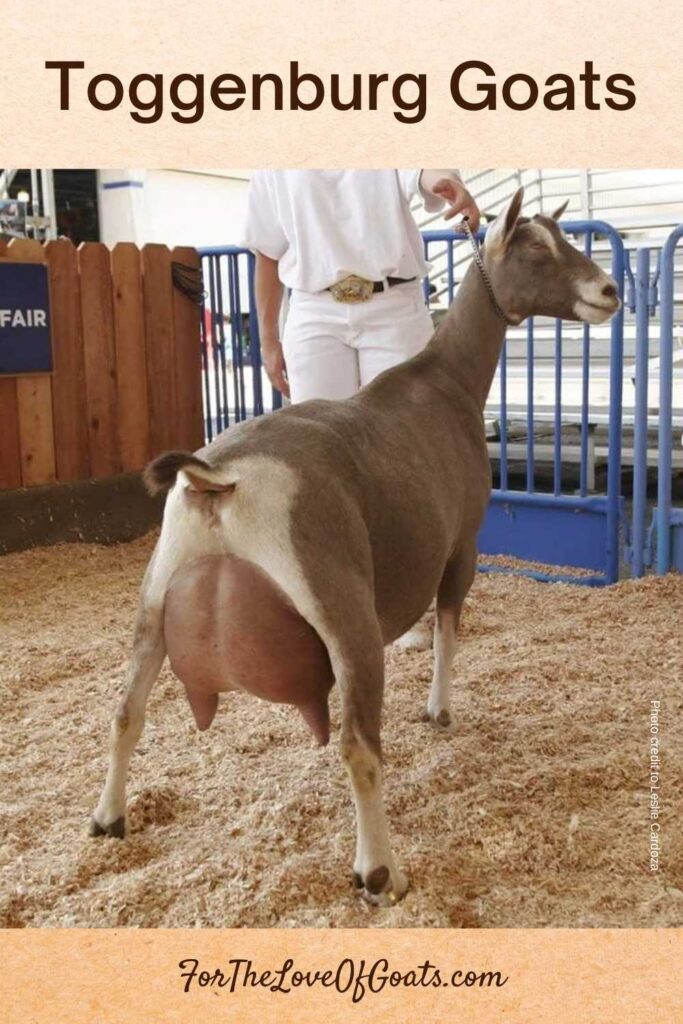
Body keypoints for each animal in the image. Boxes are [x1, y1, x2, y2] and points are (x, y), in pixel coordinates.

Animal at [90, 188, 620, 905]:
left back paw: (107, 819)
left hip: (156, 591)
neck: (447, 381)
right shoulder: (463, 542)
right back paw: (379, 872)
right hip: (342, 607)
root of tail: (217, 481)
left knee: (126, 710)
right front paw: (439, 711)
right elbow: (448, 626)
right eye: (536, 248)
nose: (610, 290)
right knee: (359, 746)